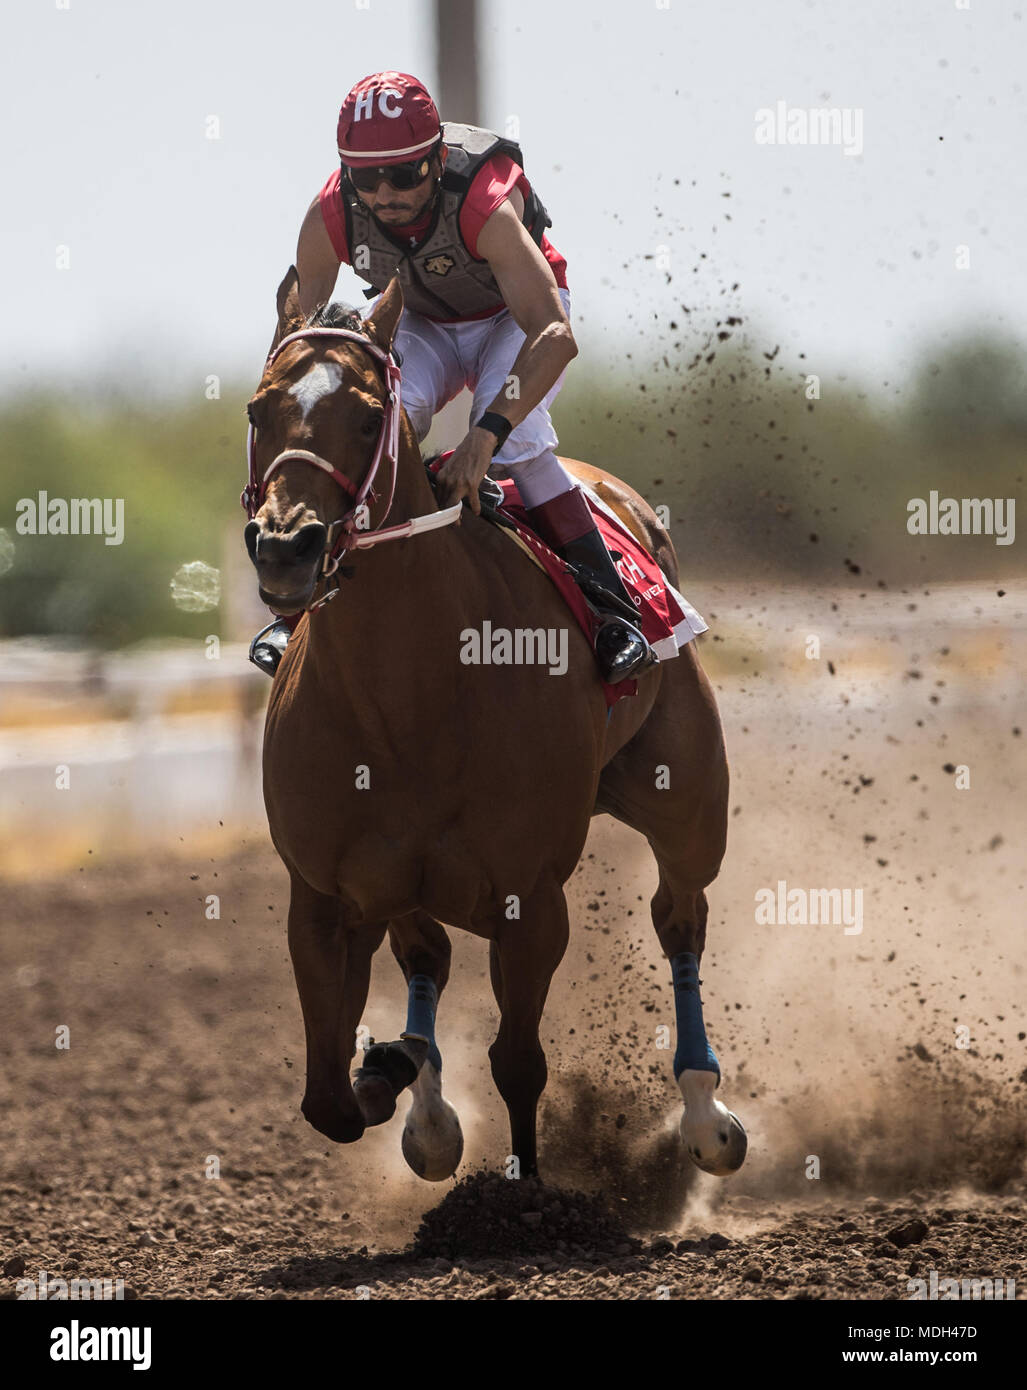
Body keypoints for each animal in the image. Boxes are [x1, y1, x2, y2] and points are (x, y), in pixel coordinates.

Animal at [242, 266, 747, 1184]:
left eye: (367, 416)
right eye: (261, 411)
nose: (286, 547)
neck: (407, 699)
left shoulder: (530, 899)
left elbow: (518, 1061)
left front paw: (527, 1185)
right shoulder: (328, 895)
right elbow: (329, 1099)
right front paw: (396, 1073)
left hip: (688, 802)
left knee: (679, 916)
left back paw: (705, 1118)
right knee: (428, 959)